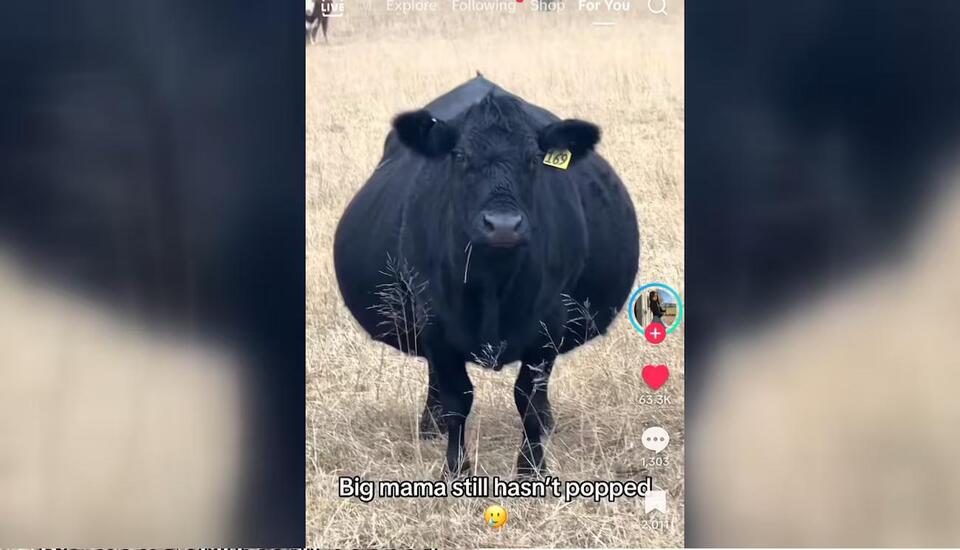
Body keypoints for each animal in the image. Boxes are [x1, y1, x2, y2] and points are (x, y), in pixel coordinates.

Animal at [333, 75, 640, 478]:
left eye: (533, 159)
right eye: (460, 156)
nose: (503, 225)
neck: (494, 282)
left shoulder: (549, 325)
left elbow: (529, 400)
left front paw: (531, 468)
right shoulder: (435, 322)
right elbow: (457, 398)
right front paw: (456, 468)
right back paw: (429, 425)